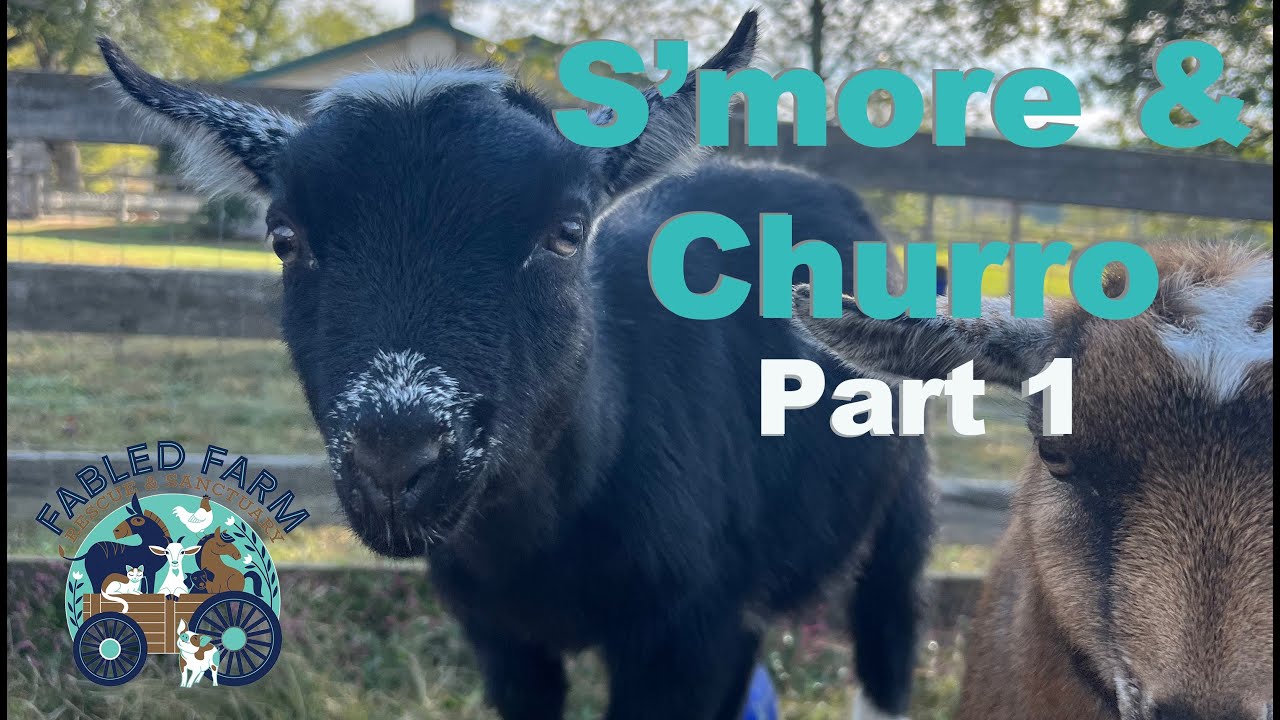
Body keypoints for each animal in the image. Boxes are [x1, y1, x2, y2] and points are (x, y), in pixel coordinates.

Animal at [98, 12, 933, 719]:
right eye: (283, 237)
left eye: (568, 231)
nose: (393, 463)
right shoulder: (503, 636)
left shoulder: (684, 635)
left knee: (886, 637)